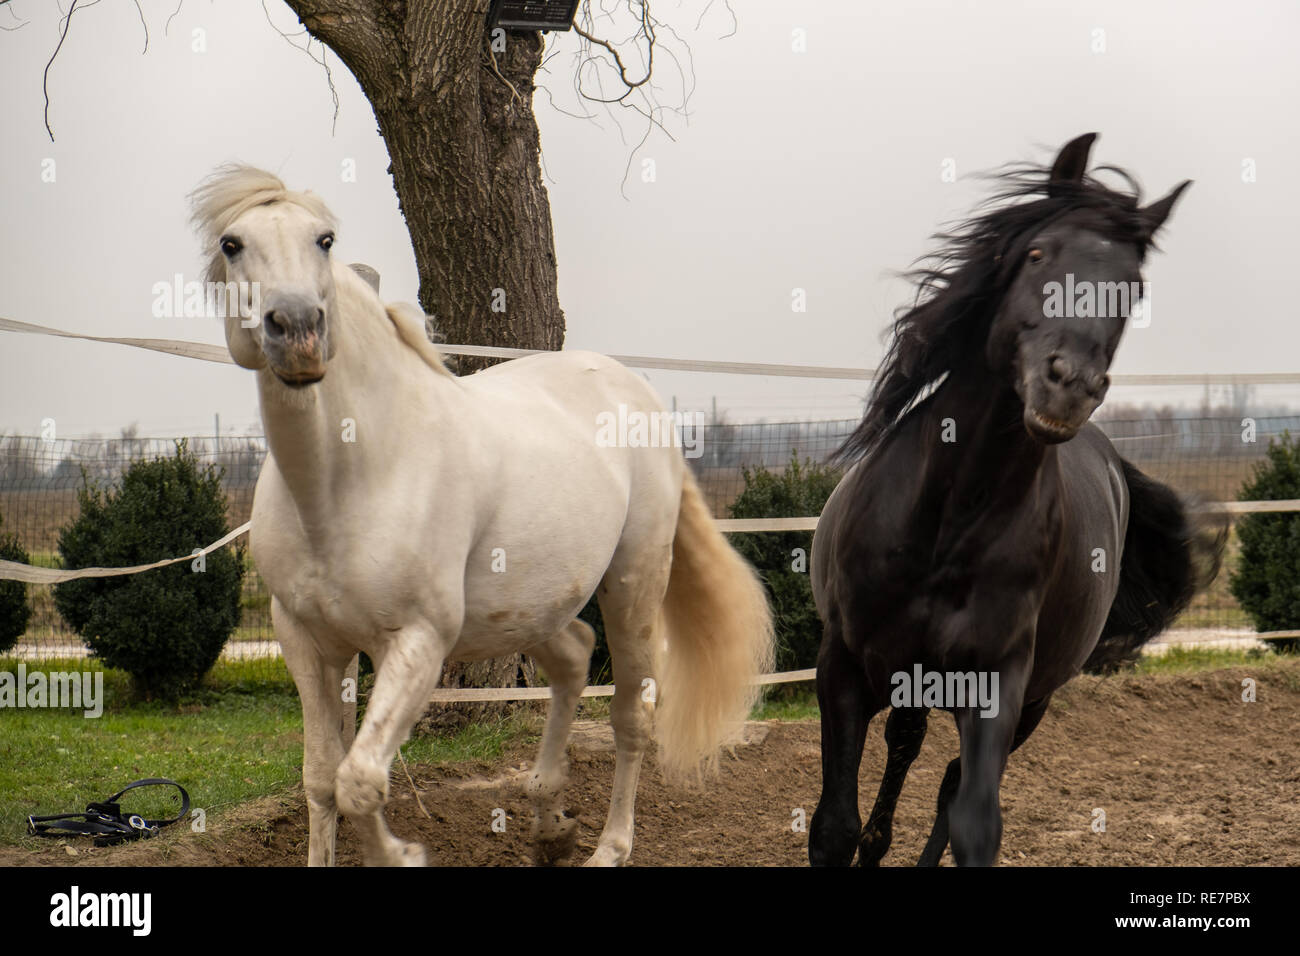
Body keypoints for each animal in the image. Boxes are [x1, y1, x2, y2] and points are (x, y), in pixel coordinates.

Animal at [189, 165, 774, 867]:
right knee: (575, 658)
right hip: (529, 606)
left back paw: (609, 846)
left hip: (633, 584)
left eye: (325, 240)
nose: (298, 329)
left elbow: (360, 781)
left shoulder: (416, 643)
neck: (350, 483)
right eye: (232, 244)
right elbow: (322, 780)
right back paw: (550, 824)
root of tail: (637, 393)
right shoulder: (304, 641)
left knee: (633, 712)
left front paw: (405, 856)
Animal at [808, 133, 1223, 867]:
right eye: (1037, 254)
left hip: (1032, 700)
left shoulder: (997, 687)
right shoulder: (844, 670)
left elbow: (975, 822)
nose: (1069, 385)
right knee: (906, 751)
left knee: (945, 782)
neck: (947, 521)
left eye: (1134, 287)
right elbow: (834, 826)